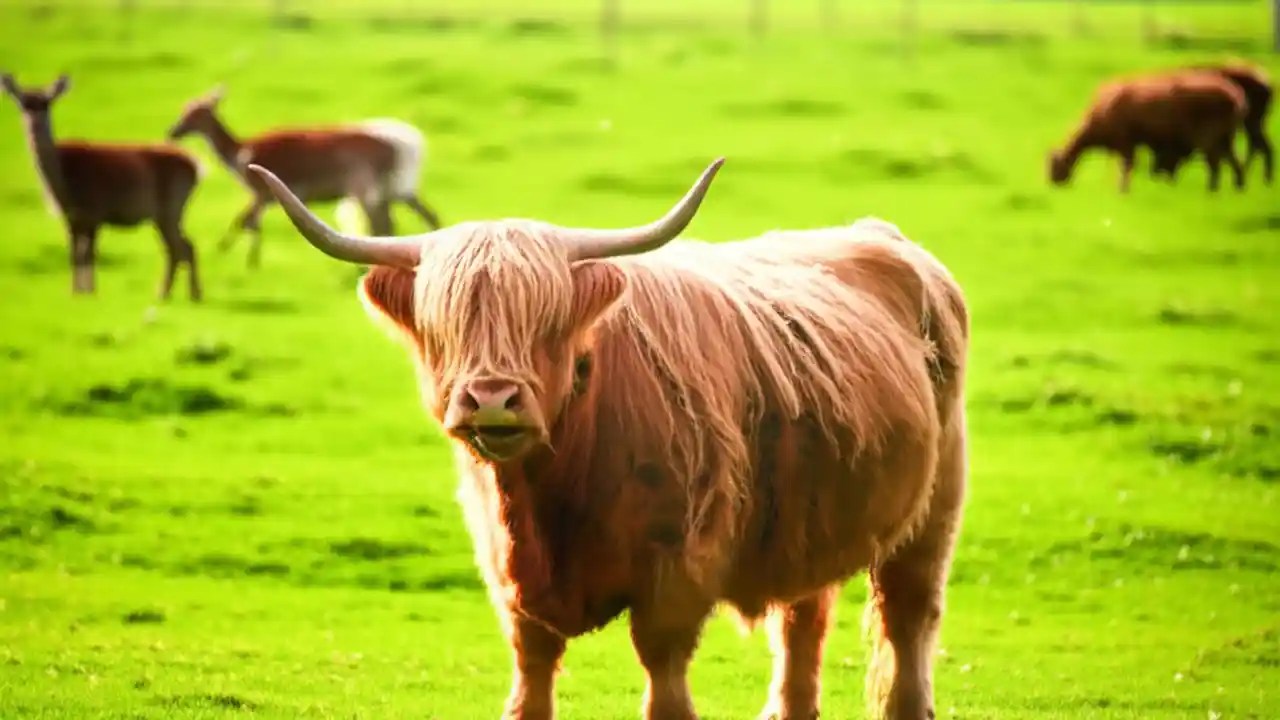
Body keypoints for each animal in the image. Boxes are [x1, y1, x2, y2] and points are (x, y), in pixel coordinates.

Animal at [248, 158, 970, 720]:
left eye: (547, 322)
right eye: (443, 323)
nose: (492, 399)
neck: (551, 497)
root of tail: (880, 237)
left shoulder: (674, 581)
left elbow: (665, 687)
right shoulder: (511, 585)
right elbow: (531, 683)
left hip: (931, 515)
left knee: (908, 621)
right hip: (807, 529)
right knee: (802, 629)